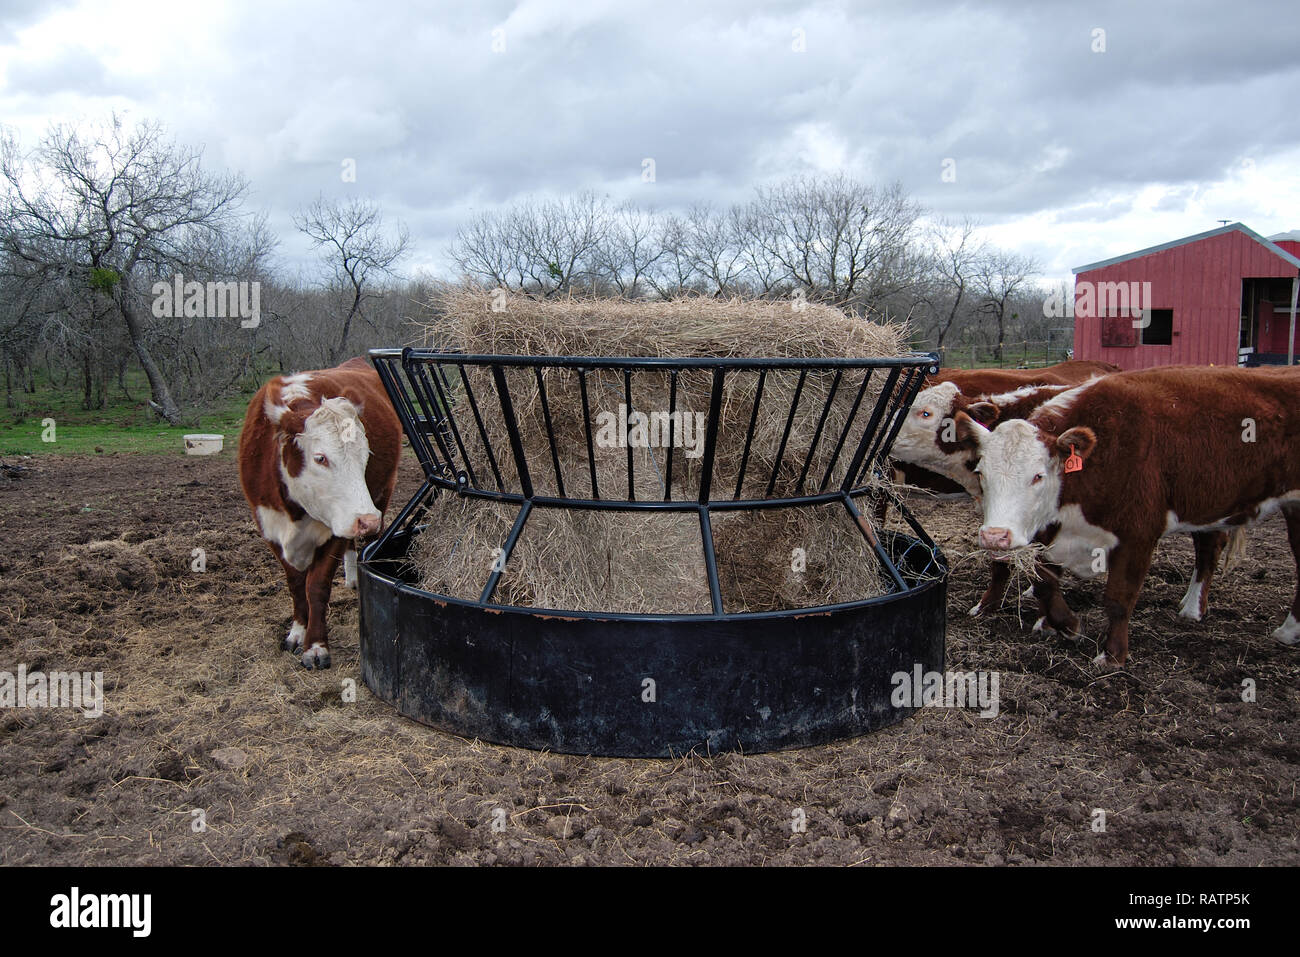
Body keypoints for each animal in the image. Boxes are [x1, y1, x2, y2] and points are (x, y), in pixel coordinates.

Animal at [238, 357, 402, 669]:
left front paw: (315, 646)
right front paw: (297, 632)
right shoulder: (269, 526)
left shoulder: (334, 529)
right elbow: (295, 584)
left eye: (366, 454)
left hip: (380, 494)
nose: (368, 520)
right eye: (320, 458)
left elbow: (316, 585)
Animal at [954, 365, 1300, 665]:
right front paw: (1065, 625)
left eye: (1038, 476)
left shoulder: (1138, 535)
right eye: (981, 472)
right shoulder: (1054, 530)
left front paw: (1112, 655)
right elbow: (1044, 584)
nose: (995, 536)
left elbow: (1119, 598)